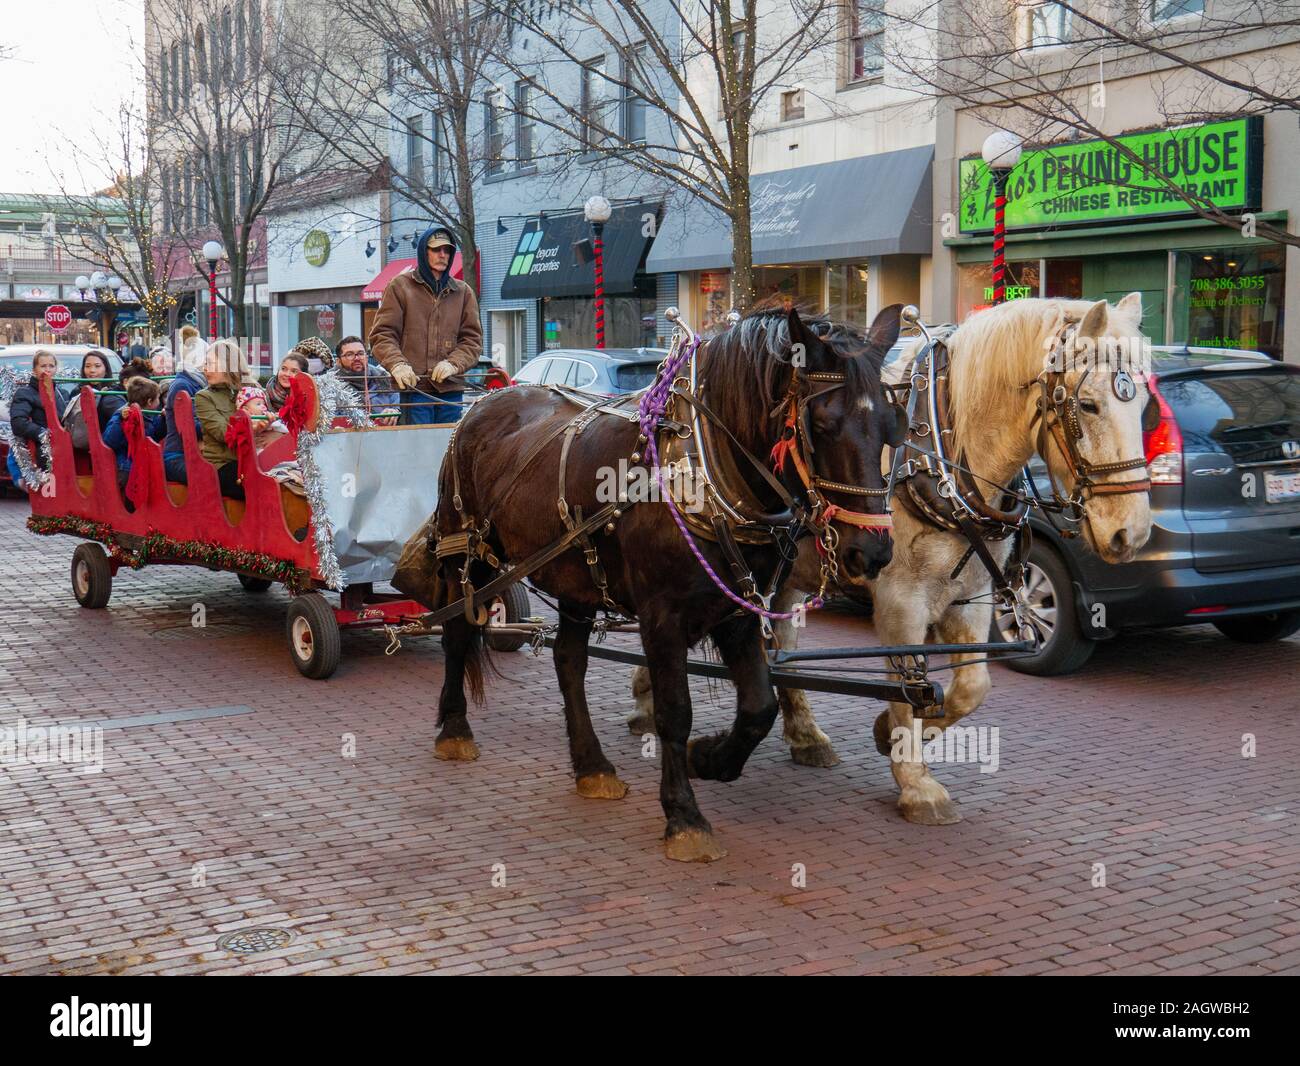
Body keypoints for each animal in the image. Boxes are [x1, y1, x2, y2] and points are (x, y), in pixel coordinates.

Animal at [426, 305, 905, 862]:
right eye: (823, 424)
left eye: (893, 426)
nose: (872, 552)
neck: (709, 470)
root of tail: (485, 401)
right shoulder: (662, 618)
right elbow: (675, 712)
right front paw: (684, 816)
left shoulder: (739, 609)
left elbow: (759, 706)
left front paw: (711, 759)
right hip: (468, 554)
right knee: (458, 633)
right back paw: (455, 730)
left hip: (575, 575)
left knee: (569, 662)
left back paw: (592, 766)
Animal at [627, 295, 1155, 824]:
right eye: (1087, 404)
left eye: (1144, 407)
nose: (1130, 532)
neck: (940, 459)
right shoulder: (901, 598)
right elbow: (906, 681)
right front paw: (916, 781)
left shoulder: (972, 595)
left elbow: (971, 686)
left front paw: (898, 731)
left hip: (786, 575)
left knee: (781, 640)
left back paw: (798, 734)